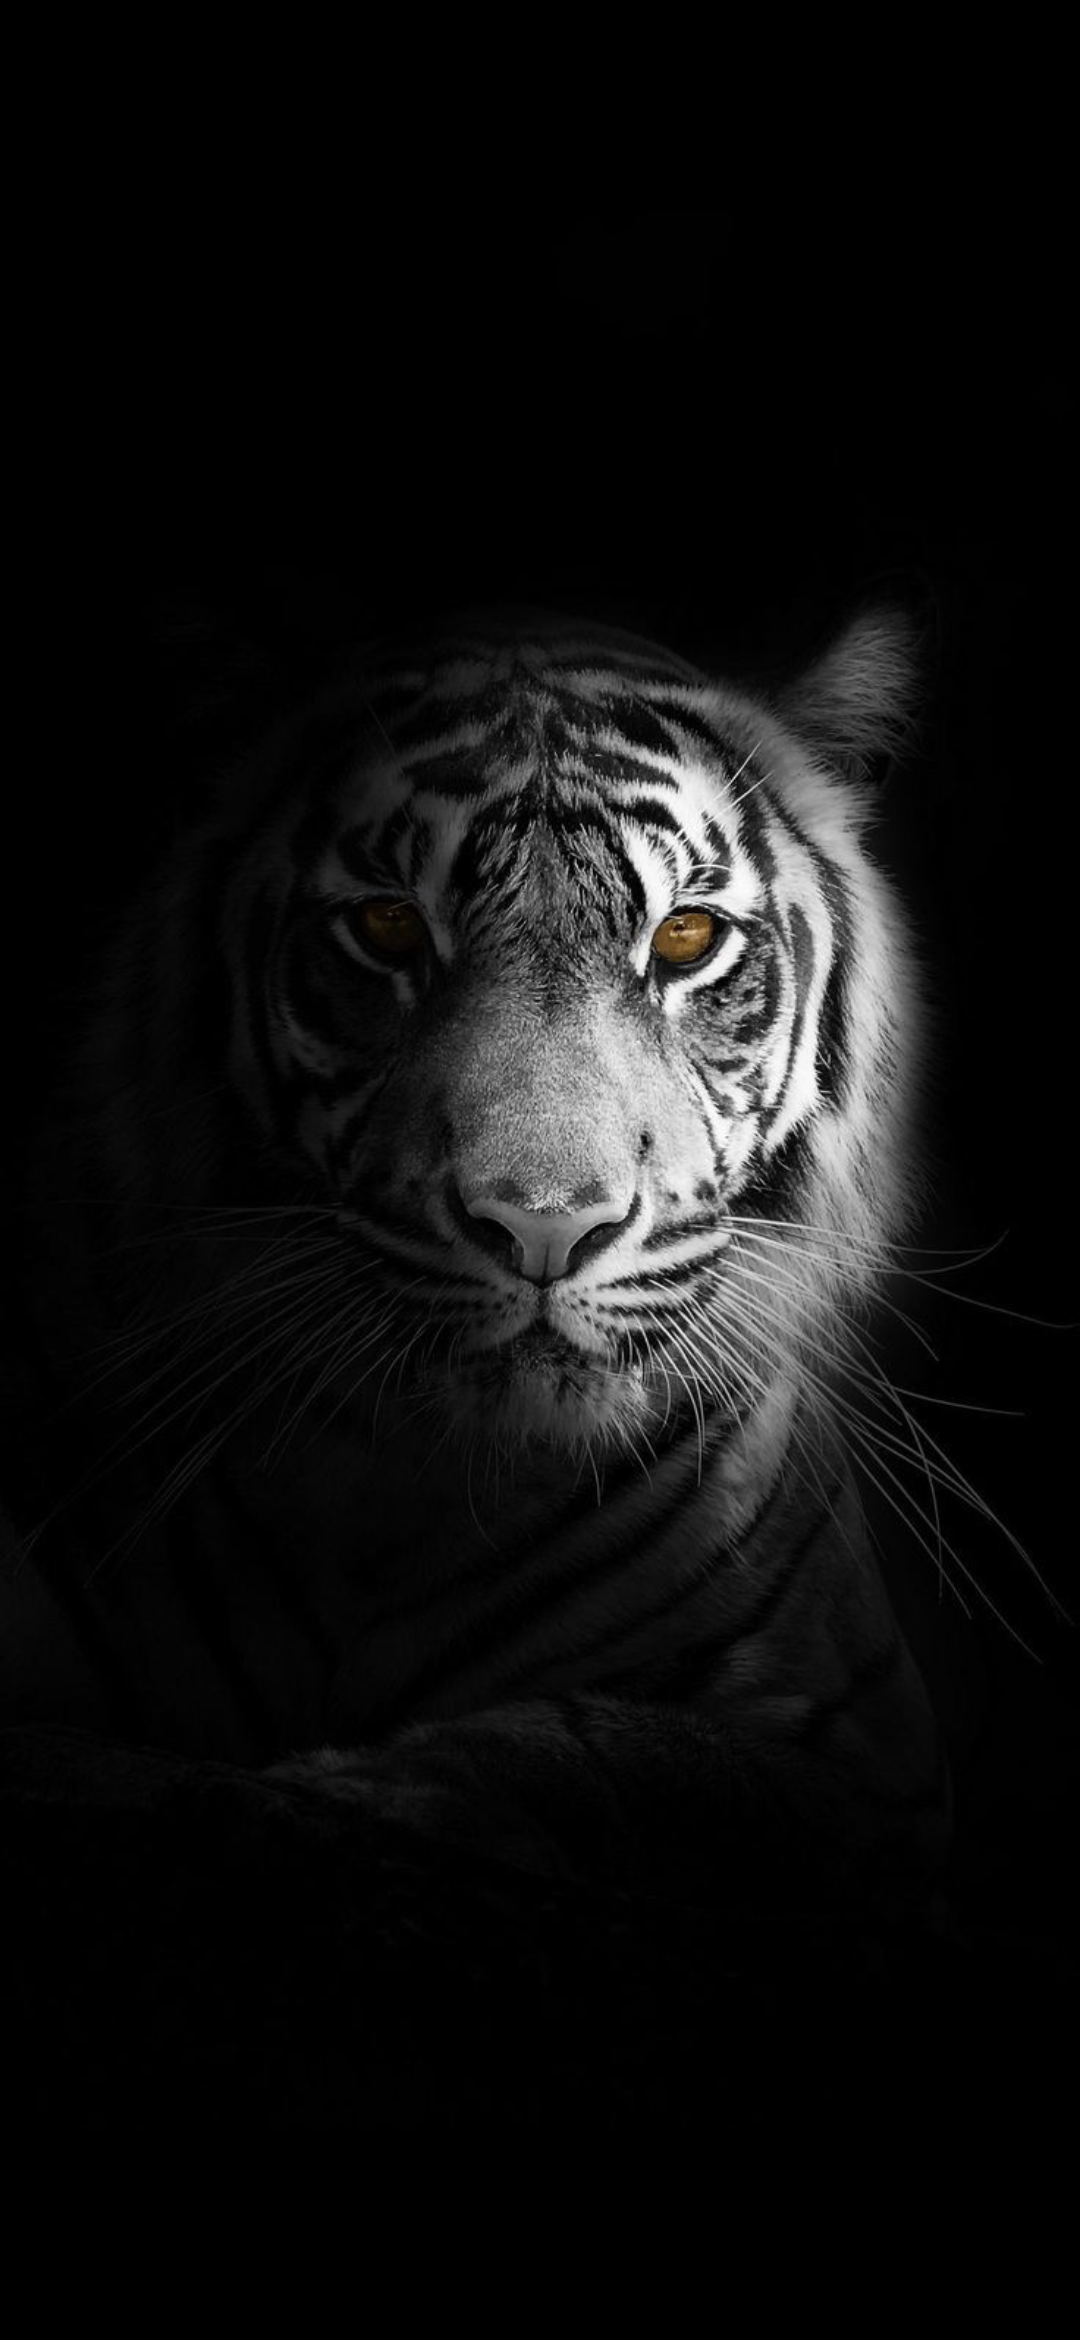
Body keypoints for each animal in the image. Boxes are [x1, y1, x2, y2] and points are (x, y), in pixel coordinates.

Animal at [0, 601, 952, 1914]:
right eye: (388, 924)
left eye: (685, 937)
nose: (545, 1224)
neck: (405, 1492)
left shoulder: (866, 1761)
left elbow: (609, 1754)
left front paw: (339, 1796)